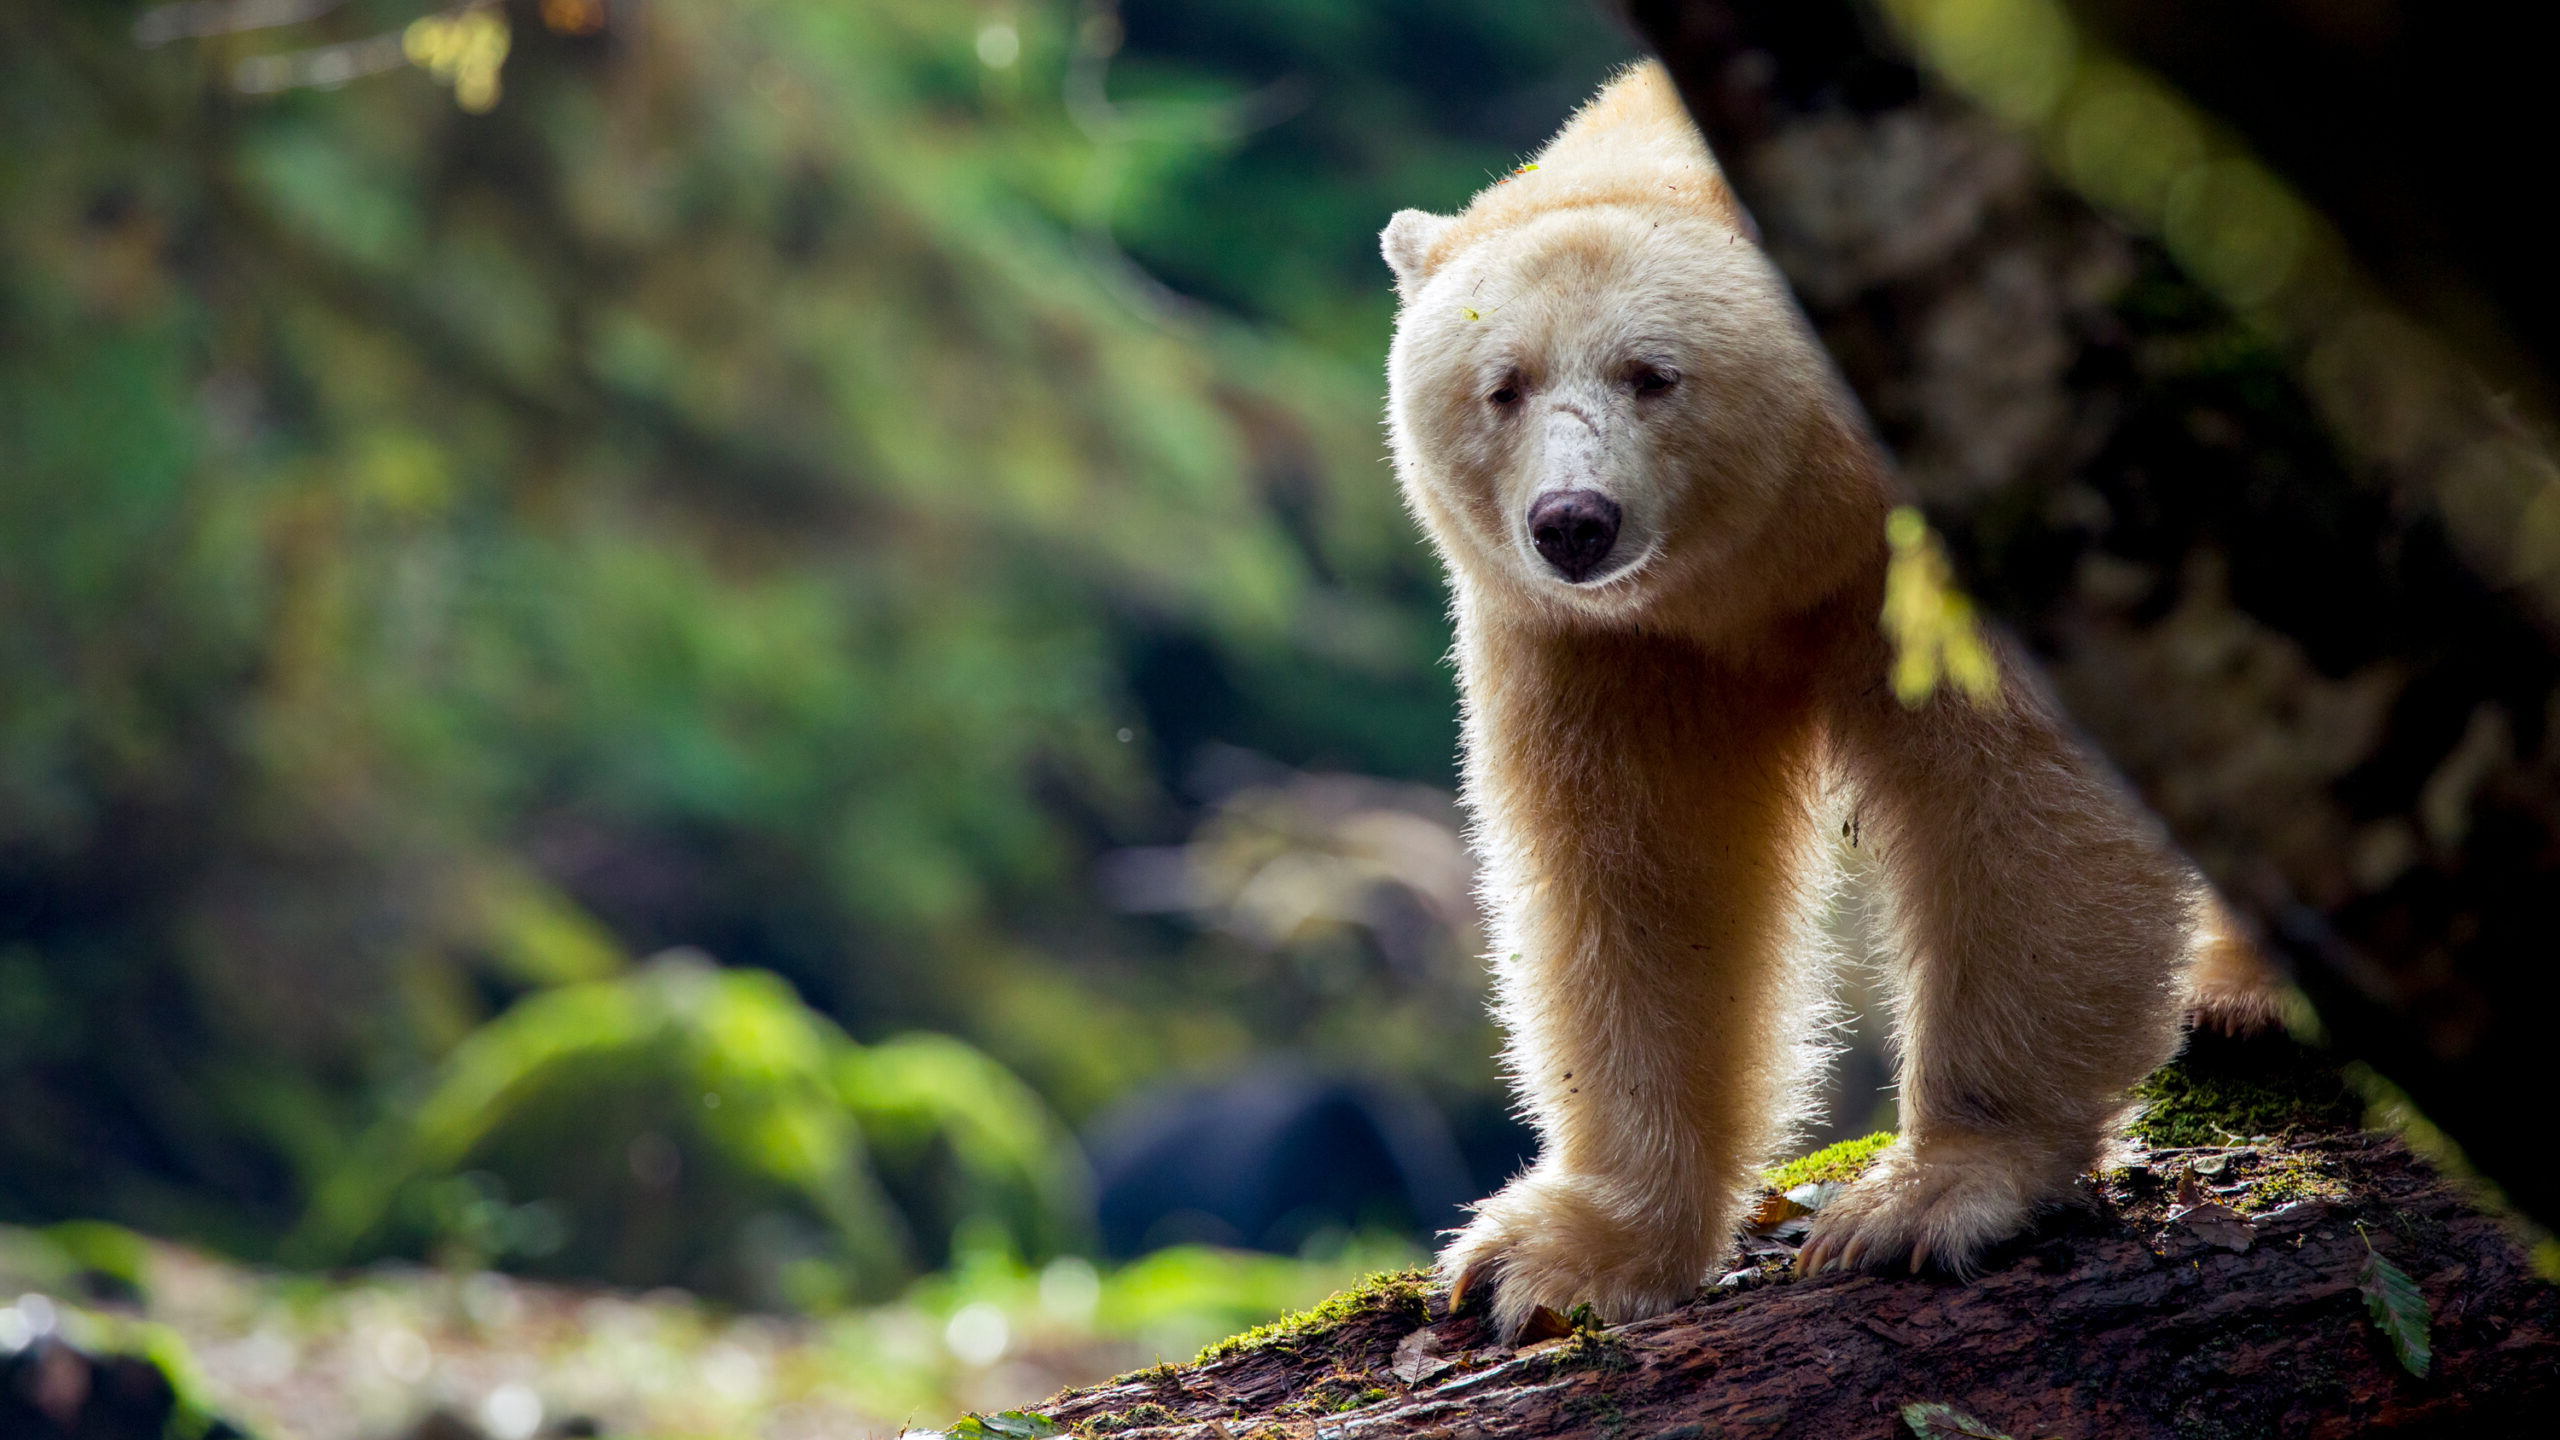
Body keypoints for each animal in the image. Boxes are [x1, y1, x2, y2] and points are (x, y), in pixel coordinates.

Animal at [1380, 62, 2262, 1336]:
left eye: (1652, 374)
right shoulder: (1610, 645)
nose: (1572, 522)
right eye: (1503, 387)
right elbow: (1636, 875)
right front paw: (1553, 1255)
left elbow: (2025, 810)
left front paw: (1926, 1199)